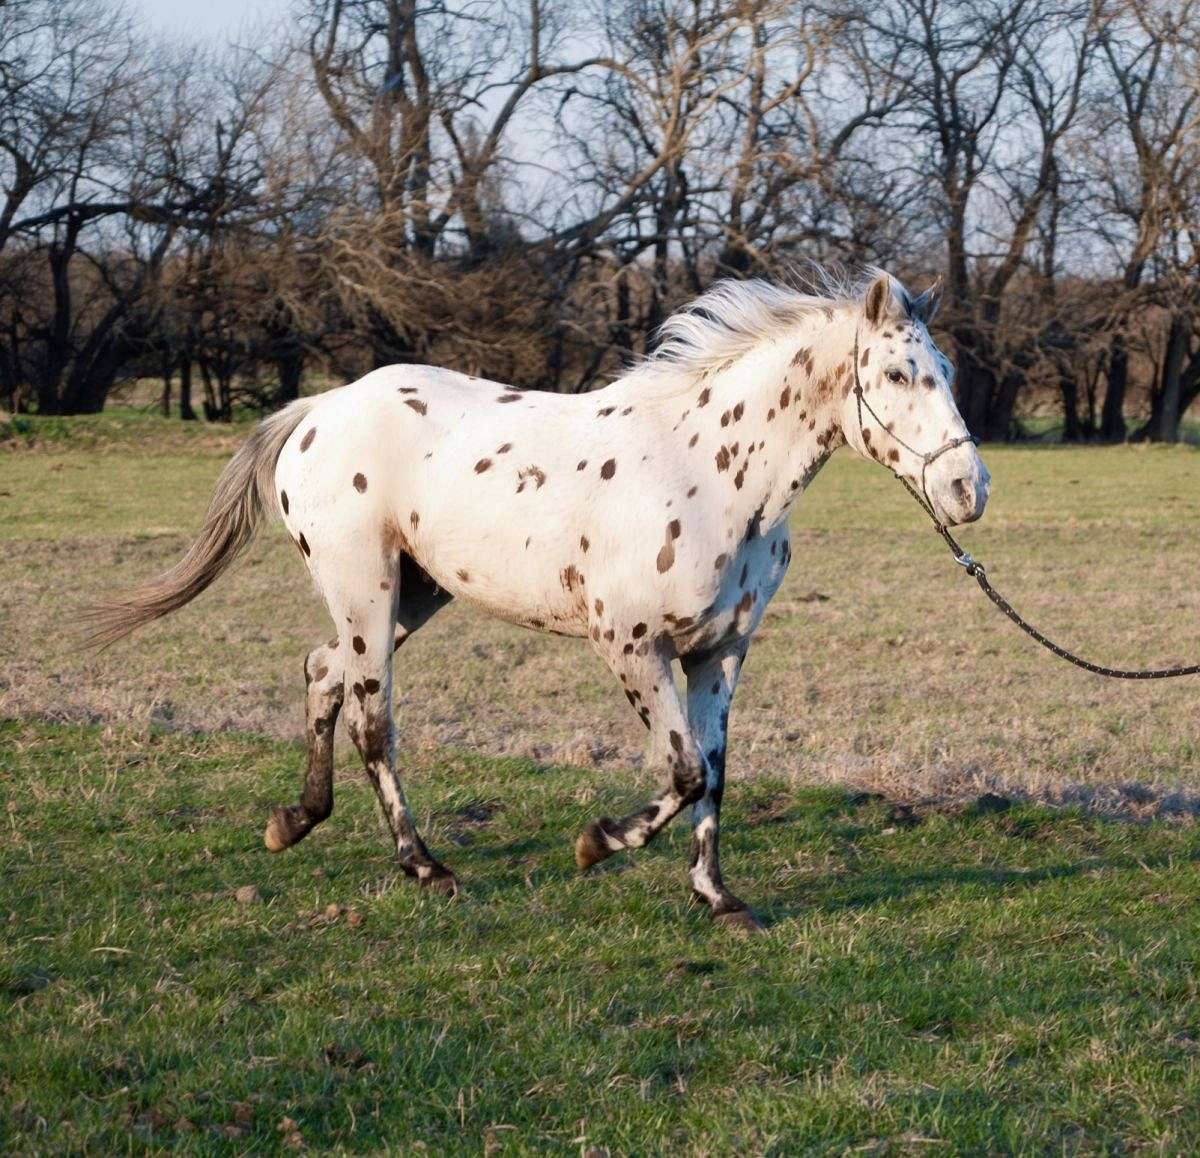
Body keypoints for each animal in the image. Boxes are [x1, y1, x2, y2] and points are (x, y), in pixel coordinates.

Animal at [87, 269, 990, 933]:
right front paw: (595, 844)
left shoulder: (721, 652)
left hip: (410, 598)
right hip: (366, 592)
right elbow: (685, 770)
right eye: (899, 373)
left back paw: (296, 821)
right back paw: (426, 867)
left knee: (321, 672)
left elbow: (717, 774)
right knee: (371, 722)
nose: (967, 489)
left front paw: (718, 899)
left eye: (946, 374)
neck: (707, 471)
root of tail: (320, 410)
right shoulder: (631, 644)